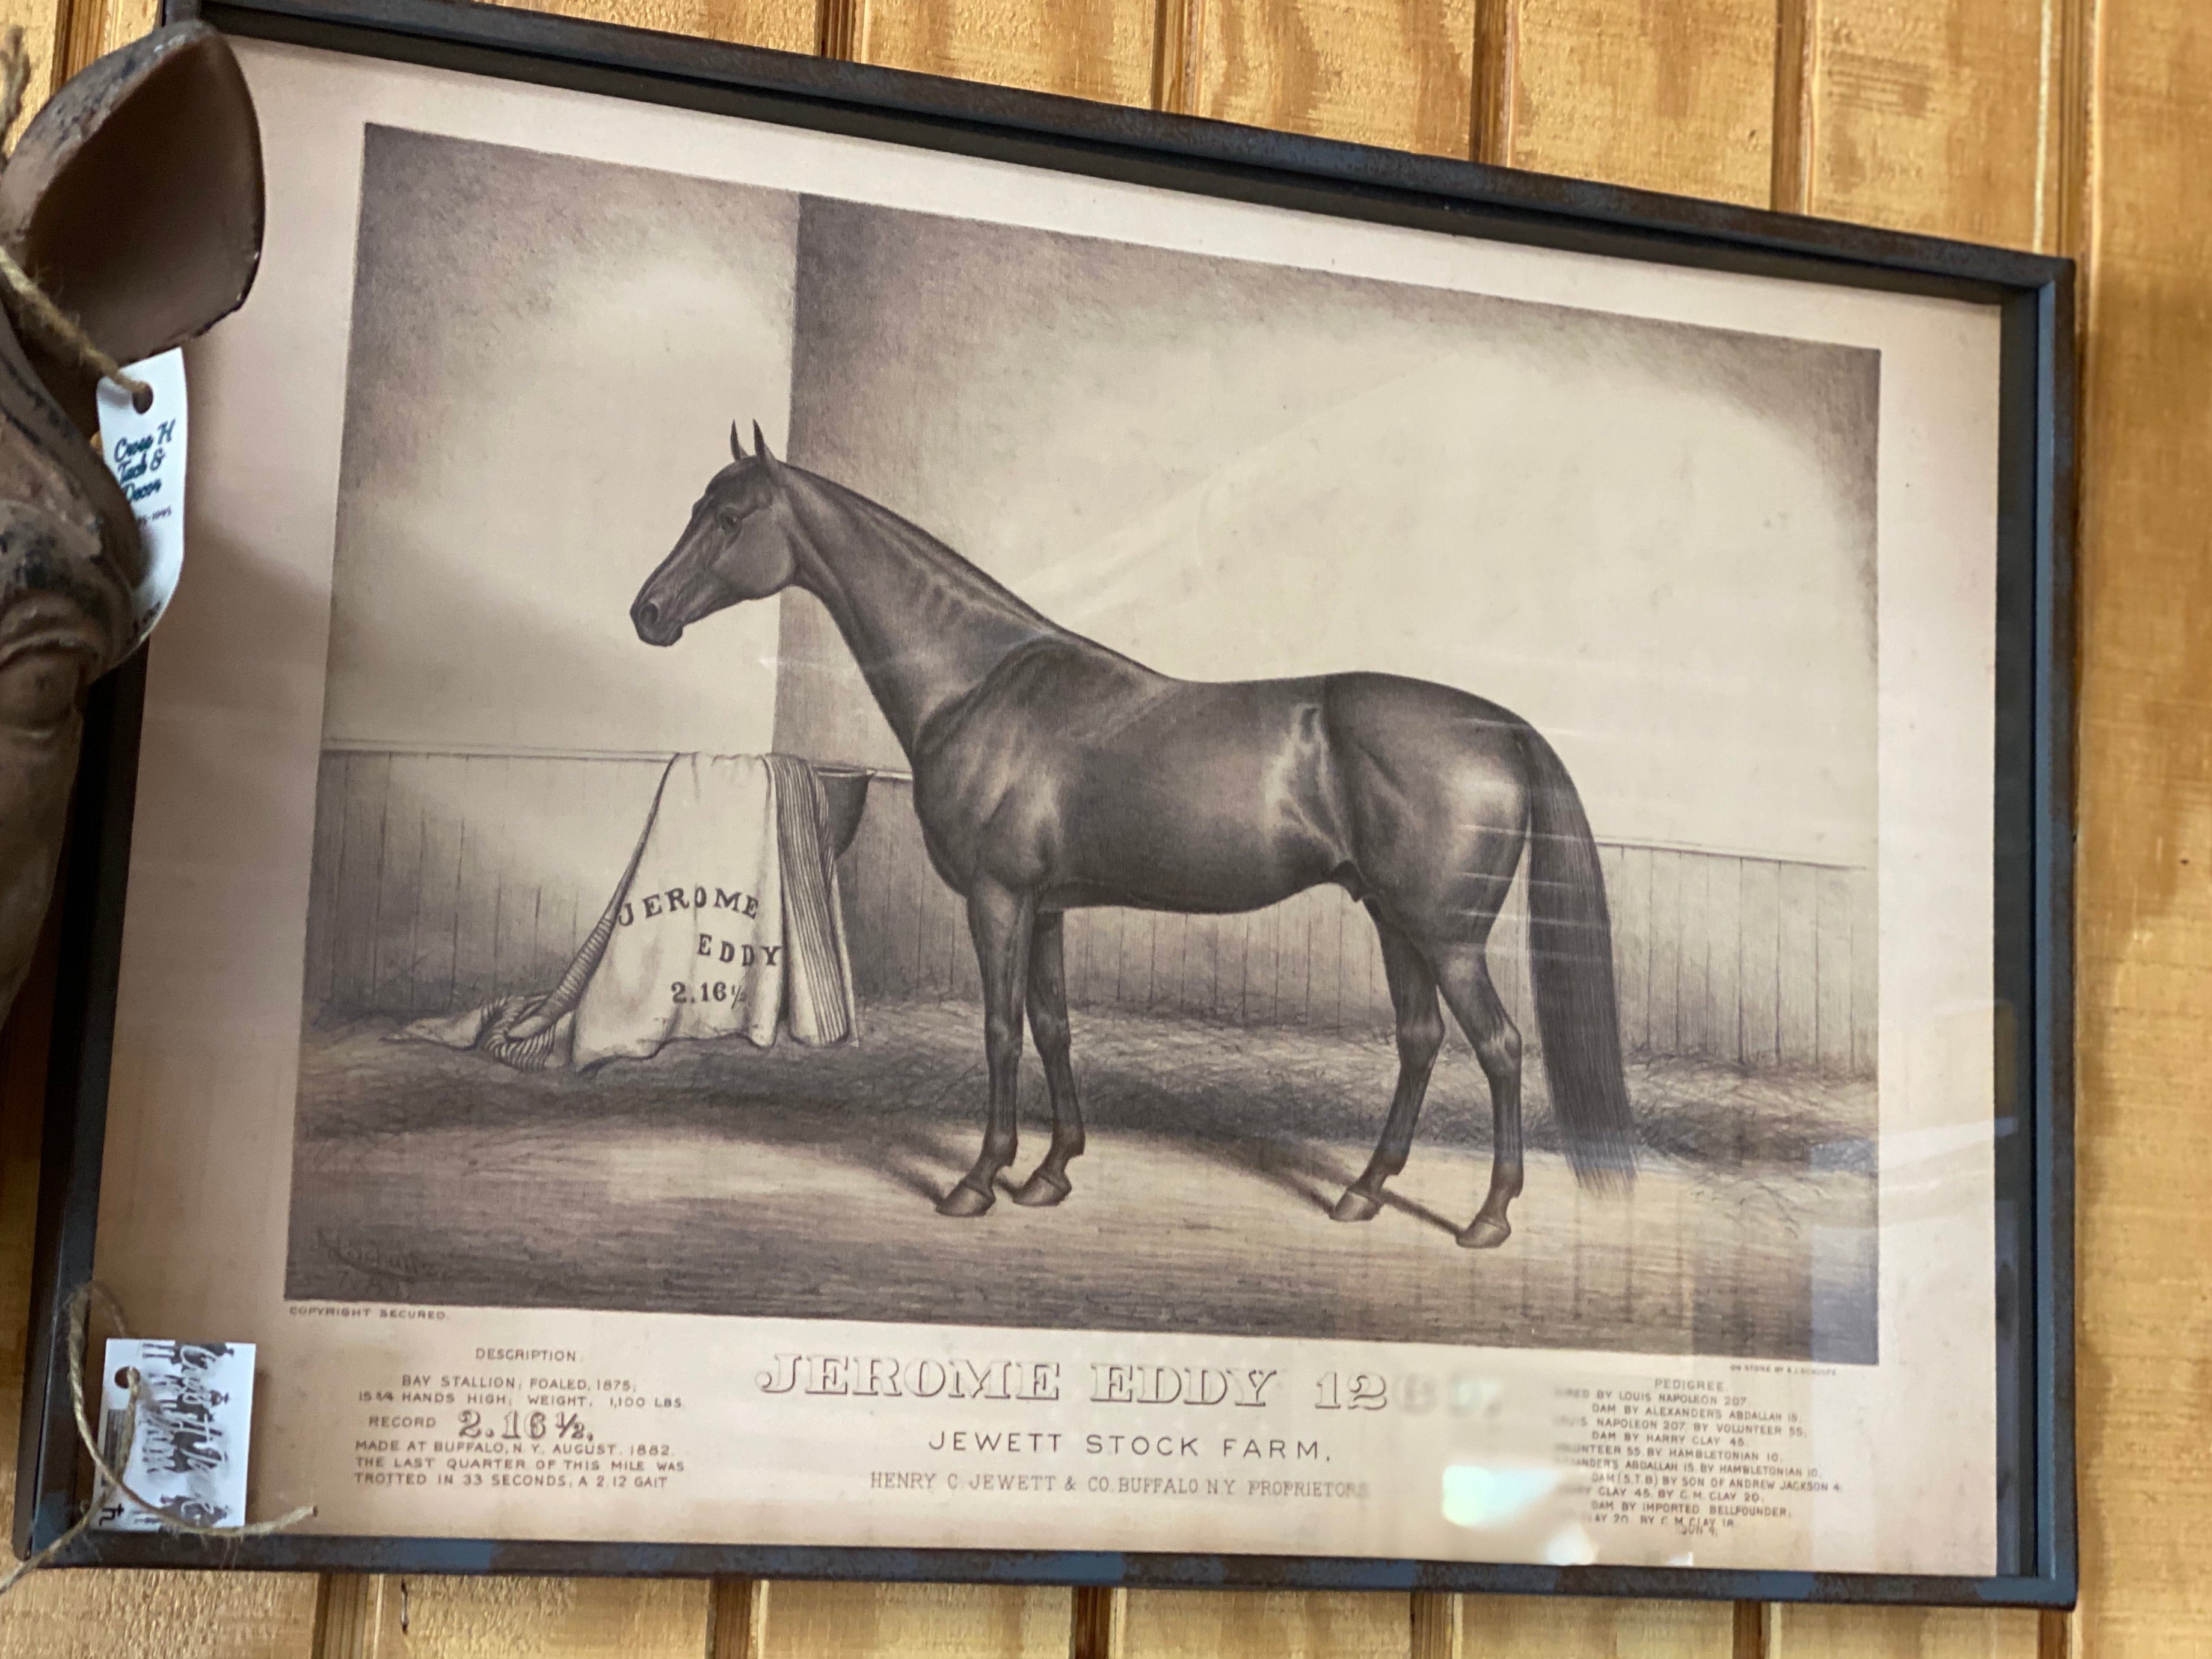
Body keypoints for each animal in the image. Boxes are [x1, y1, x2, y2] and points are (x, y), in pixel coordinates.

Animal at [631, 423, 1636, 1248]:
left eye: (731, 517)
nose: (646, 612)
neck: (976, 684)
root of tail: (1500, 726)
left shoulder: (998, 900)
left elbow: (1000, 1031)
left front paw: (977, 1178)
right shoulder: (1043, 907)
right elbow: (1053, 1026)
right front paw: (1049, 1171)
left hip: (1445, 936)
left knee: (1499, 1047)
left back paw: (1487, 1217)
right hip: (1397, 924)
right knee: (1421, 1041)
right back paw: (1362, 1190)